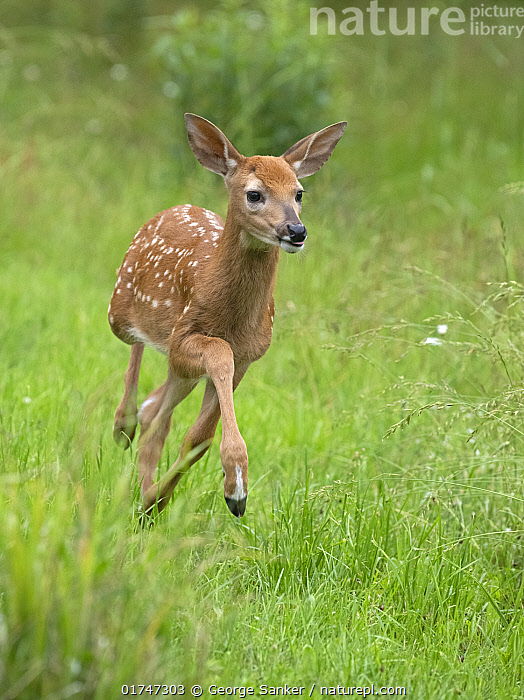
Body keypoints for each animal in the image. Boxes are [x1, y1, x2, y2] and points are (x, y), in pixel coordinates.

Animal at [108, 113, 346, 518]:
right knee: (137, 354)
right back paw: (123, 425)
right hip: (119, 310)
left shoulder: (248, 354)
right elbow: (218, 355)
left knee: (157, 411)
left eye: (299, 193)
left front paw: (160, 500)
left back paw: (143, 483)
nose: (296, 230)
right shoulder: (186, 337)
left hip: (181, 368)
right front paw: (235, 485)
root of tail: (172, 208)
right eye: (254, 194)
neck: (232, 318)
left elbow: (198, 438)